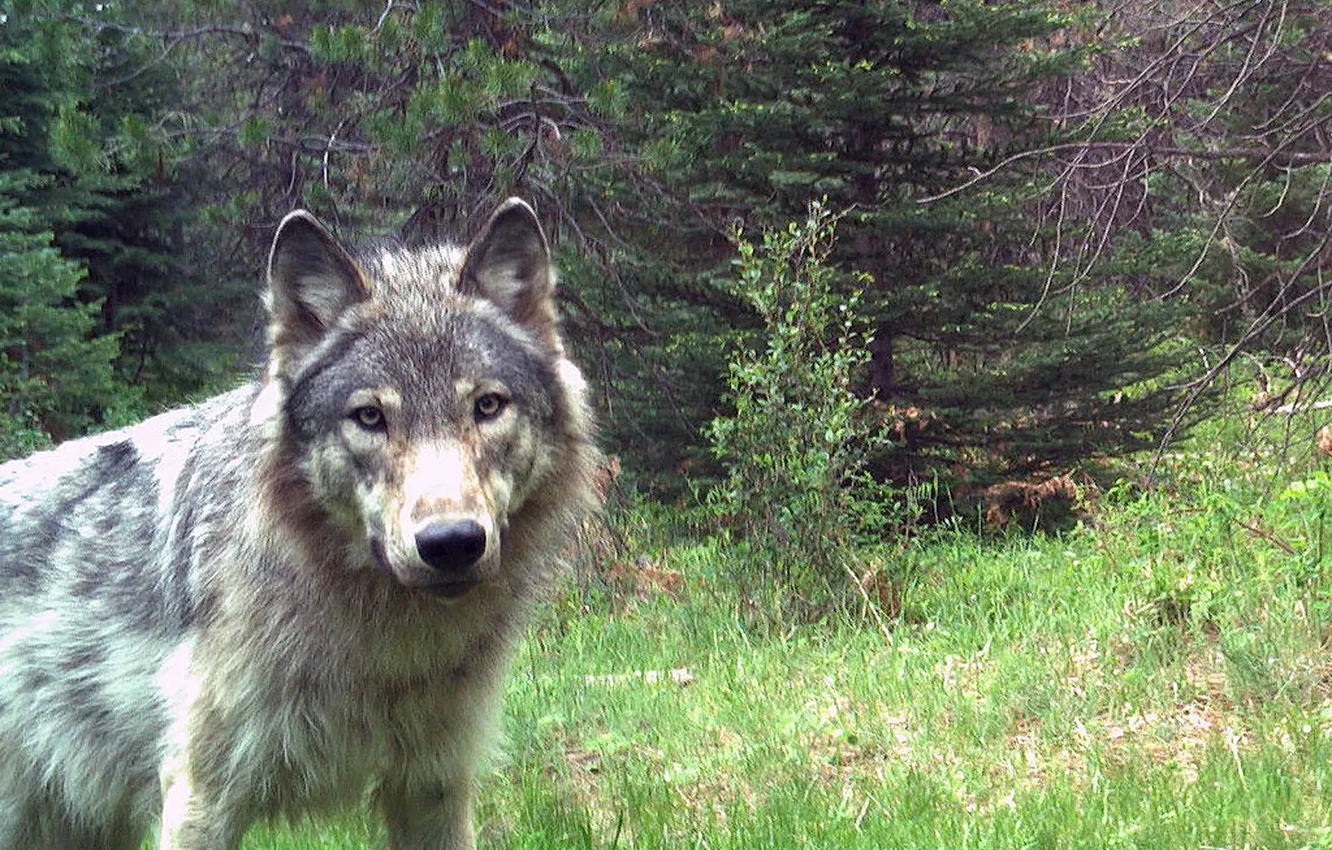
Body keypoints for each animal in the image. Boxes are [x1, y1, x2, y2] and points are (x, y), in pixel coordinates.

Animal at [0, 198, 598, 849]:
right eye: (369, 417)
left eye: (487, 406)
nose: (450, 544)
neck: (385, 646)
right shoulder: (201, 798)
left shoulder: (433, 784)